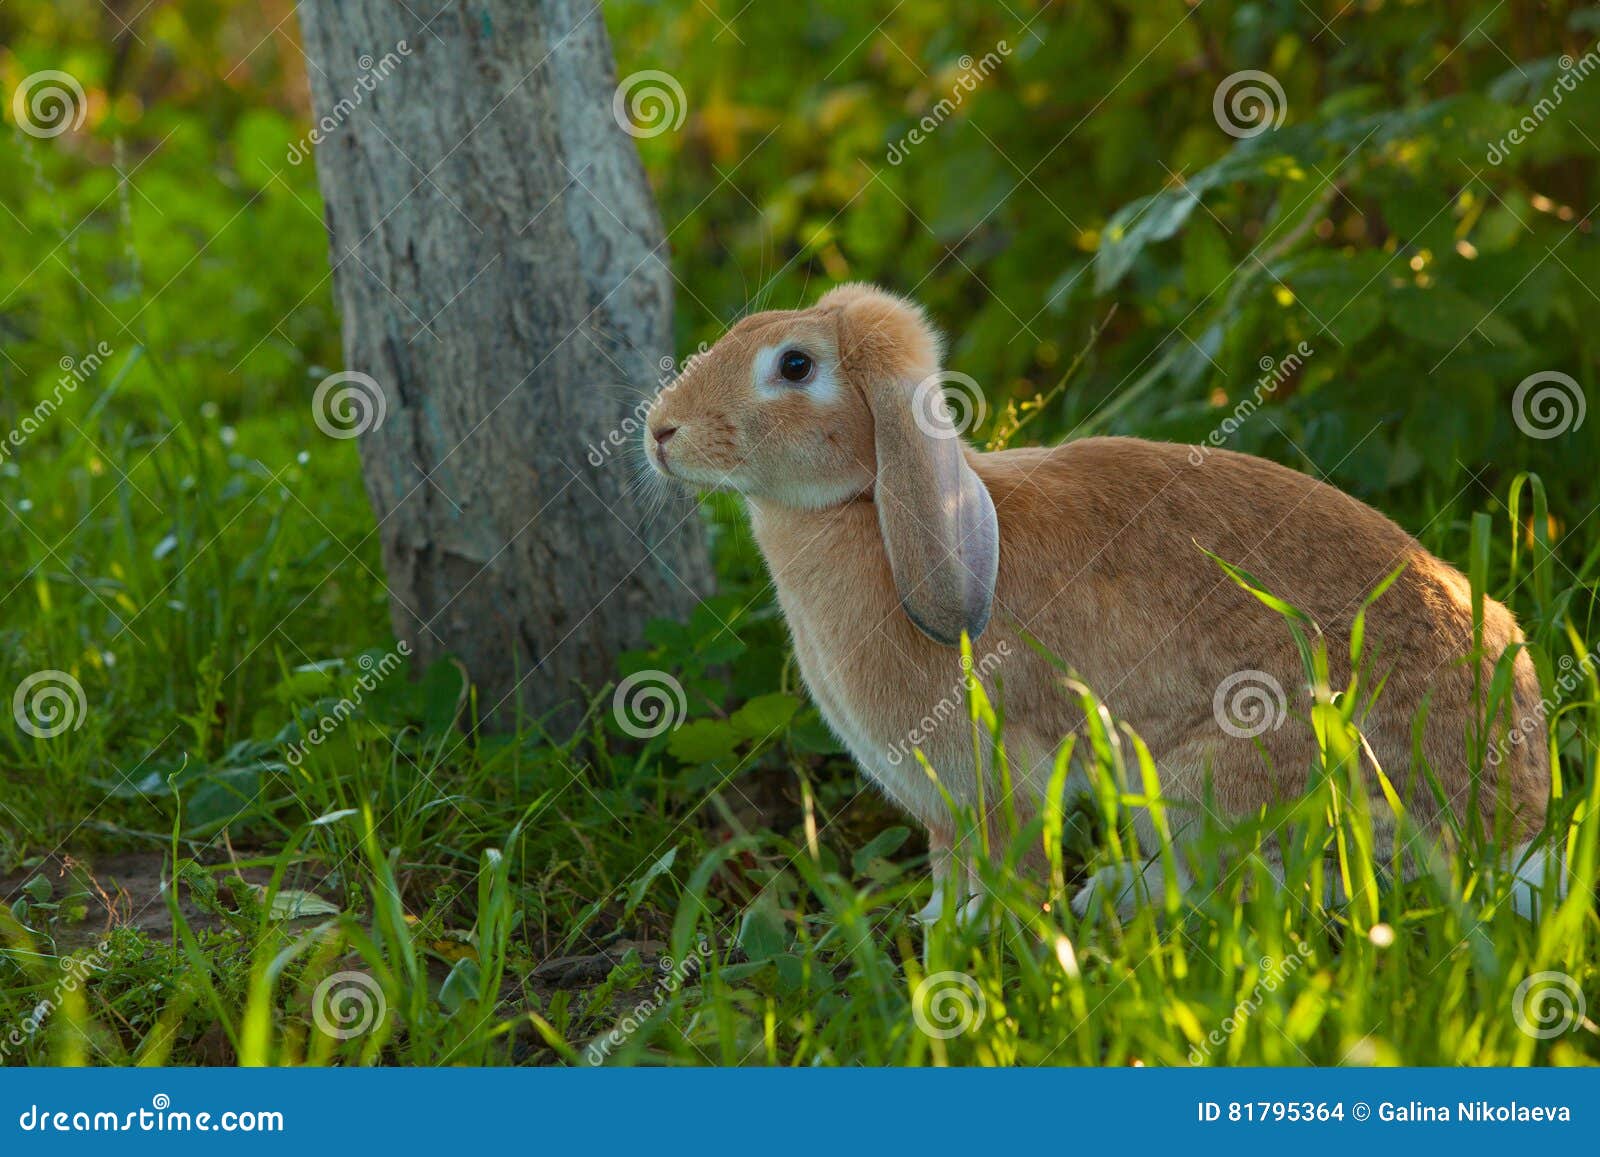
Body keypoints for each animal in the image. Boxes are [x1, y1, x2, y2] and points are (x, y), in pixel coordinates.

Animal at [642, 282, 1553, 922]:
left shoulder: (996, 774)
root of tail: (1512, 830)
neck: (876, 504)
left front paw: (977, 935)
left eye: (795, 366)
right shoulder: (946, 808)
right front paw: (939, 923)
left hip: (1209, 779)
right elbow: (945, 862)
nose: (659, 430)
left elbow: (1002, 858)